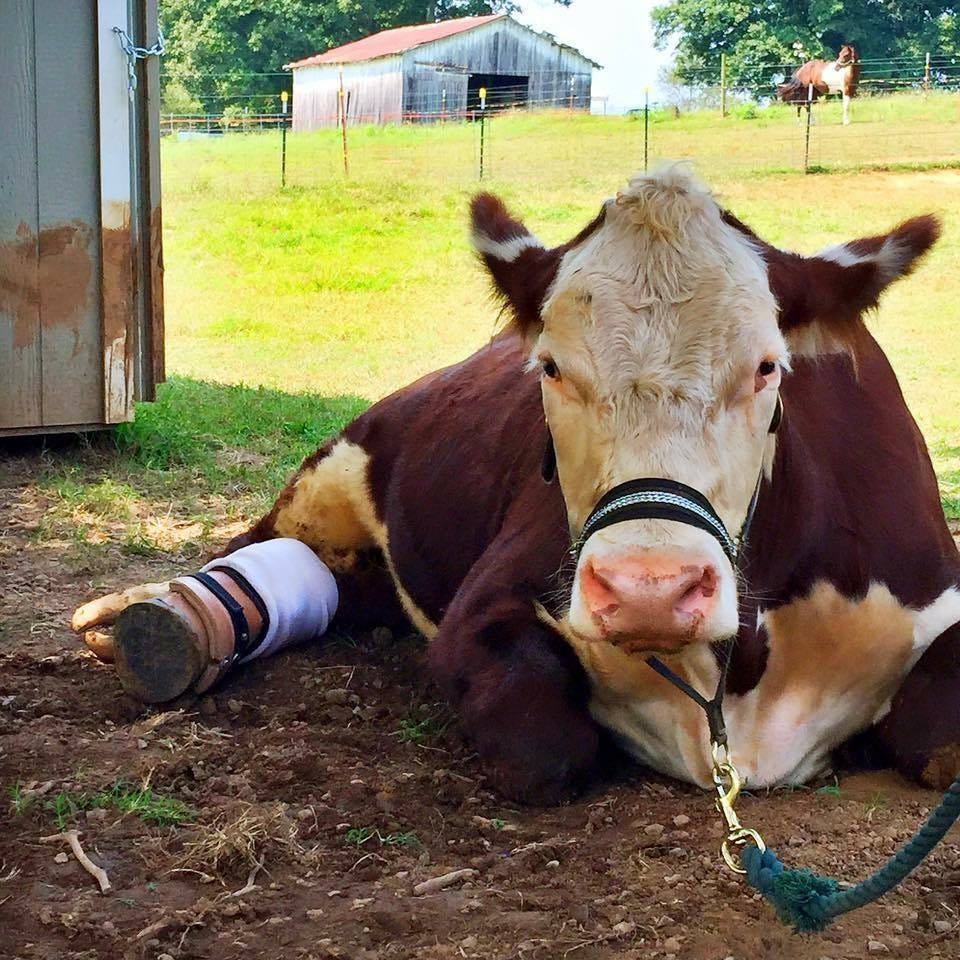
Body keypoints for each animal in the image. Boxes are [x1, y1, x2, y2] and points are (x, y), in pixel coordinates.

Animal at [76, 167, 960, 805]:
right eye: (552, 367)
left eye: (768, 367)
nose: (647, 589)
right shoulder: (487, 606)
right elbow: (543, 744)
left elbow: (934, 736)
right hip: (328, 475)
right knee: (259, 547)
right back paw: (150, 617)